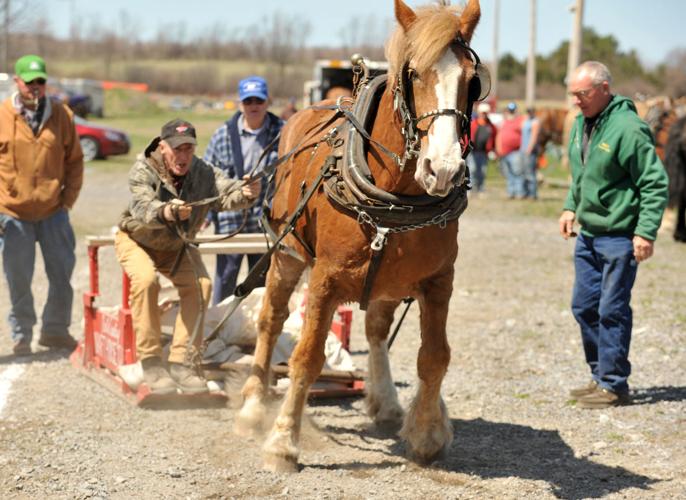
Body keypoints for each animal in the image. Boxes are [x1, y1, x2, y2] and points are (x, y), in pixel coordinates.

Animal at [233, 0, 486, 472]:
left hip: (386, 282)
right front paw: (283, 441)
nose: (443, 169)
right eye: (413, 73)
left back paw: (385, 403)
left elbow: (434, 357)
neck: (396, 194)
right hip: (287, 254)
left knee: (375, 330)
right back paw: (254, 407)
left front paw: (427, 432)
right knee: (271, 321)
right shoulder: (325, 279)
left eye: (472, 80)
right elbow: (307, 357)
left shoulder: (438, 281)